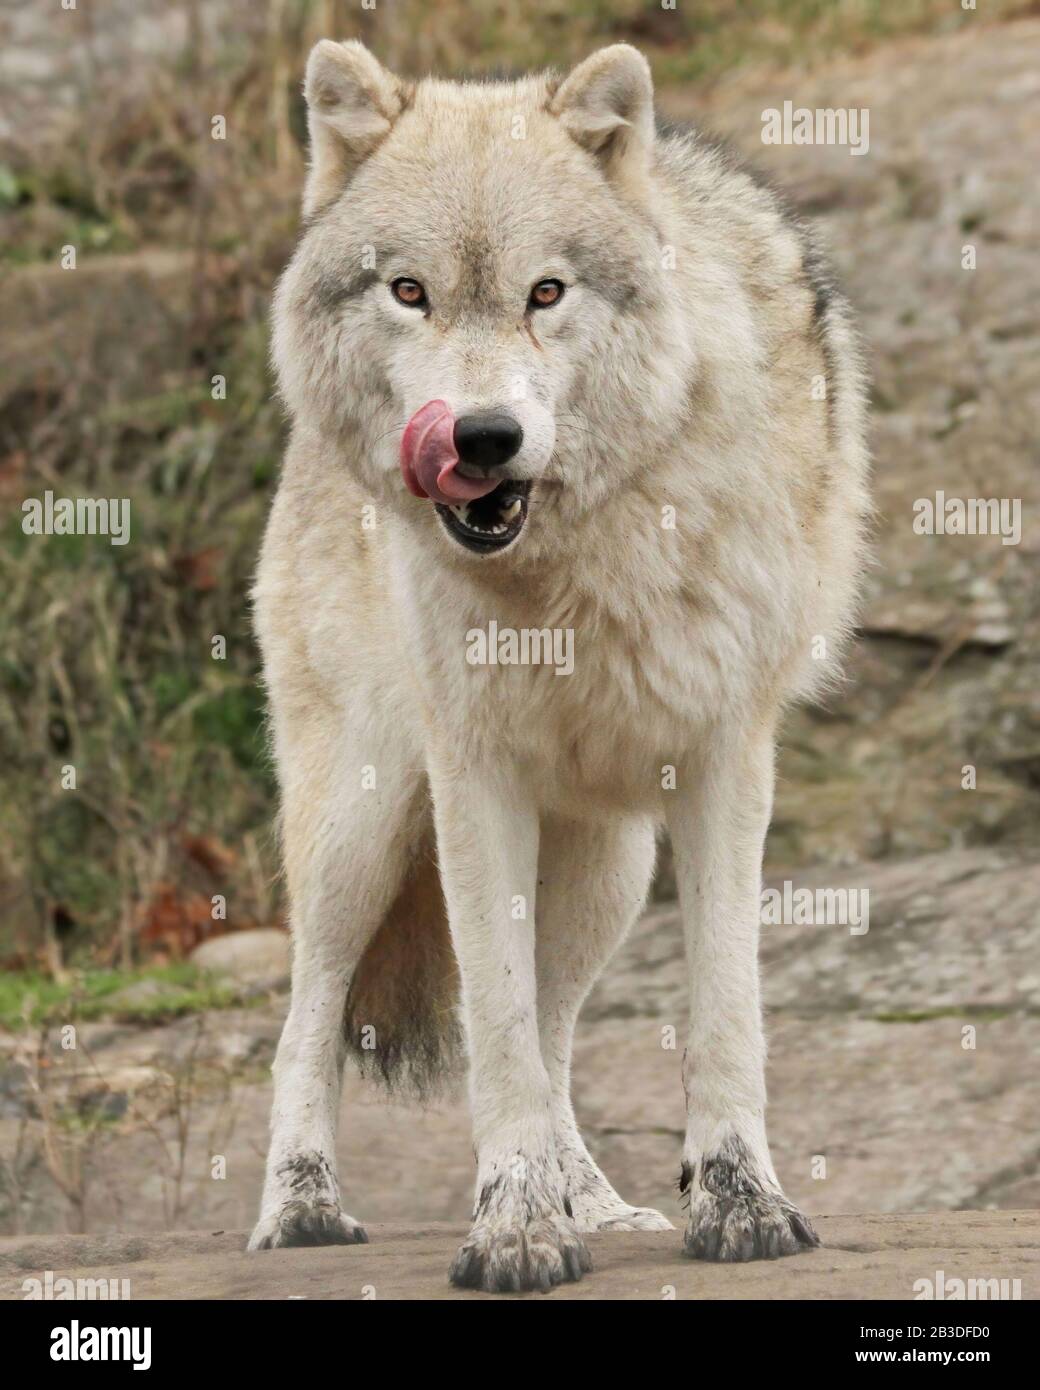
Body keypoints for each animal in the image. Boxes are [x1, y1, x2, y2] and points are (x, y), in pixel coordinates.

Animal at [248, 38, 870, 1293]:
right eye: (408, 291)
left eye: (546, 293)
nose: (479, 438)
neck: (578, 569)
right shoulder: (472, 776)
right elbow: (489, 1033)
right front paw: (514, 1229)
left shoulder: (728, 763)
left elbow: (720, 1015)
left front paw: (736, 1205)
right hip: (362, 827)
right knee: (309, 1016)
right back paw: (301, 1206)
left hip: (607, 871)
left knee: (552, 1029)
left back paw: (595, 1197)